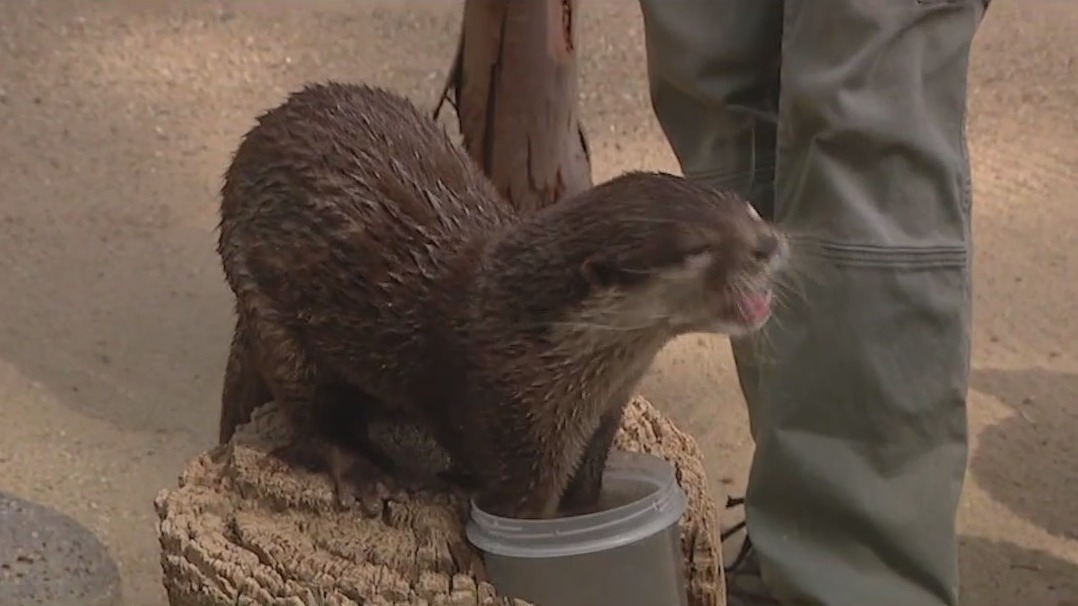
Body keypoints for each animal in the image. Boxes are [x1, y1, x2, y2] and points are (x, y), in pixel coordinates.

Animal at [215, 81, 787, 519]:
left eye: (746, 208)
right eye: (697, 248)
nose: (769, 243)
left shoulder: (606, 410)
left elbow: (588, 485)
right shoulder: (511, 425)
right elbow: (522, 508)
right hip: (265, 304)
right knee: (310, 410)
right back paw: (365, 472)